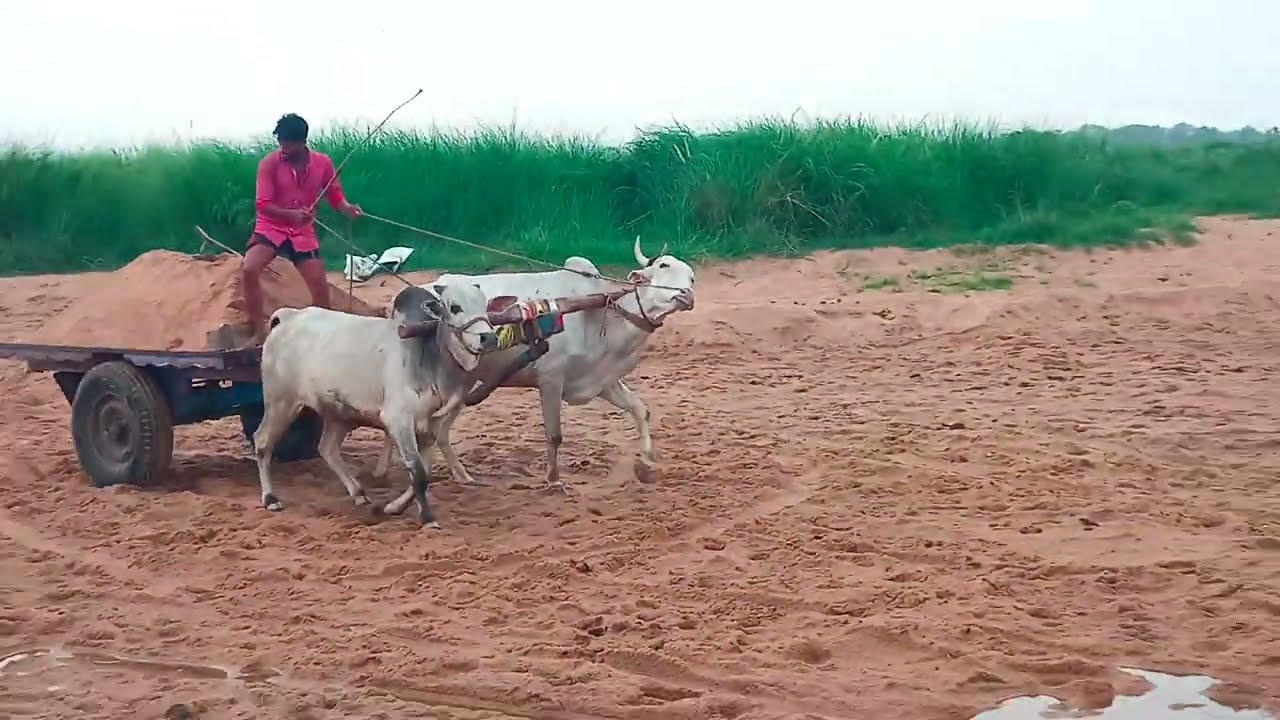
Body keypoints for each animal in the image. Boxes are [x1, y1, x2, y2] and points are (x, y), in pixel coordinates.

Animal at [252, 282, 499, 529]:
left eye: (484, 305)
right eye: (455, 307)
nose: (488, 338)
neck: (429, 357)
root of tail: (288, 317)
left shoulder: (432, 424)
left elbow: (424, 473)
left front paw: (394, 507)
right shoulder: (398, 420)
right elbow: (418, 472)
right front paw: (428, 519)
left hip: (339, 414)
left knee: (327, 449)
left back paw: (358, 493)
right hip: (281, 402)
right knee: (262, 442)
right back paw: (270, 498)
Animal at [371, 236, 696, 495]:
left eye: (691, 277)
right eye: (663, 267)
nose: (687, 295)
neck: (597, 313)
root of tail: (400, 301)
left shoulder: (603, 381)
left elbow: (640, 409)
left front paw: (647, 462)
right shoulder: (550, 380)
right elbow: (554, 435)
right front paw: (553, 480)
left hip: (463, 385)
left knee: (439, 431)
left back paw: (461, 476)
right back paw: (381, 472)